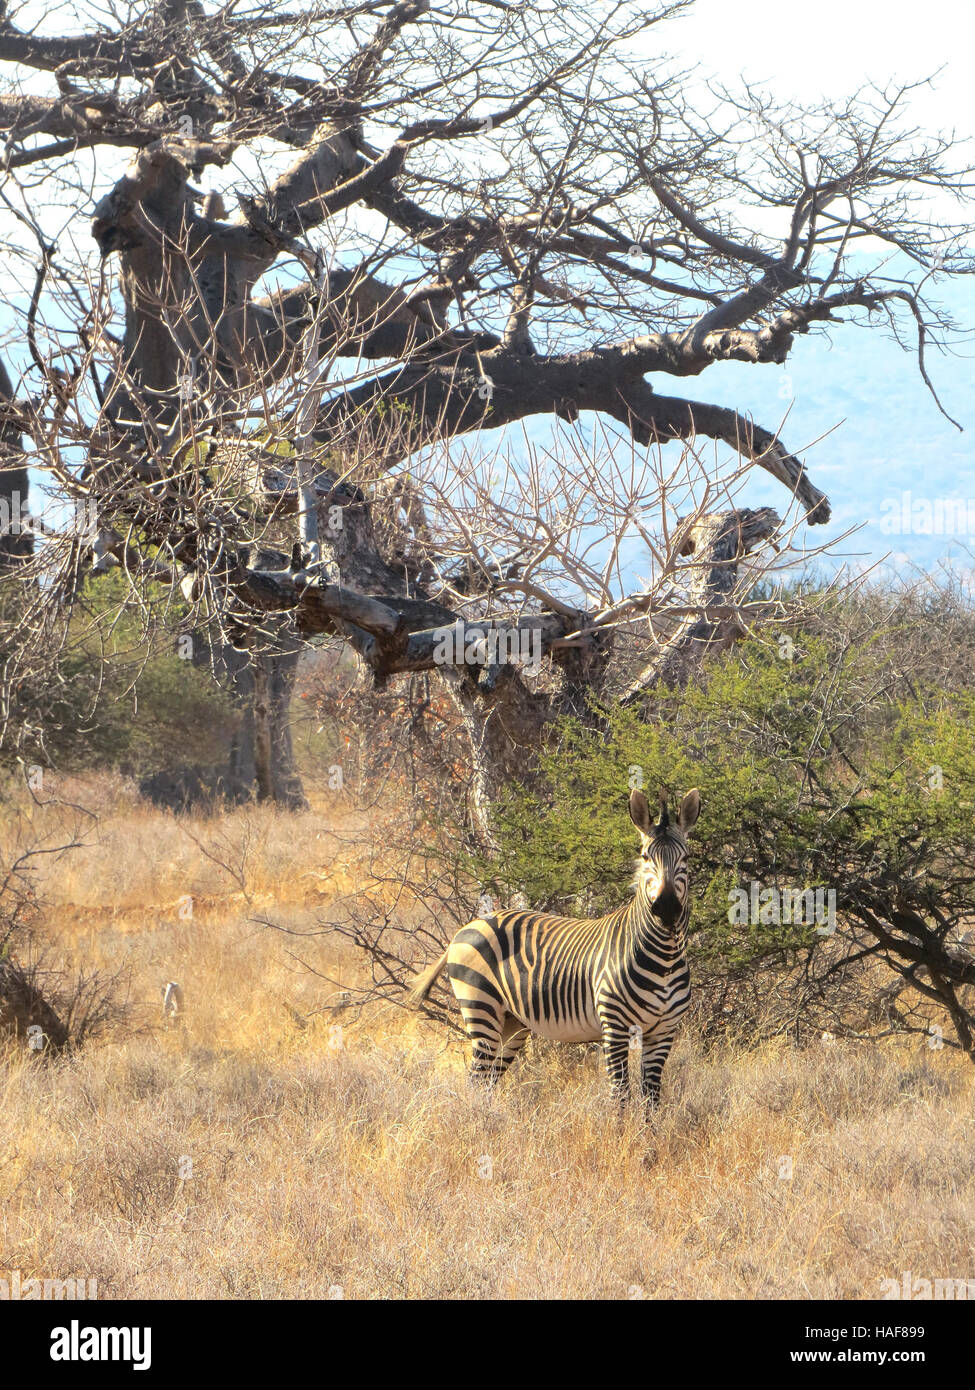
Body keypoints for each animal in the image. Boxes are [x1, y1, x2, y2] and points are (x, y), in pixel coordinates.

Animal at [408, 787, 700, 1108]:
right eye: (645, 856)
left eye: (686, 857)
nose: (667, 908)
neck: (664, 957)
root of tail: (466, 927)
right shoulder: (615, 1027)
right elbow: (620, 1093)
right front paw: (620, 1124)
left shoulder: (663, 1032)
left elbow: (651, 1097)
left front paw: (648, 1123)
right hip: (481, 1006)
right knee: (476, 1078)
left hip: (512, 1023)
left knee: (488, 1080)